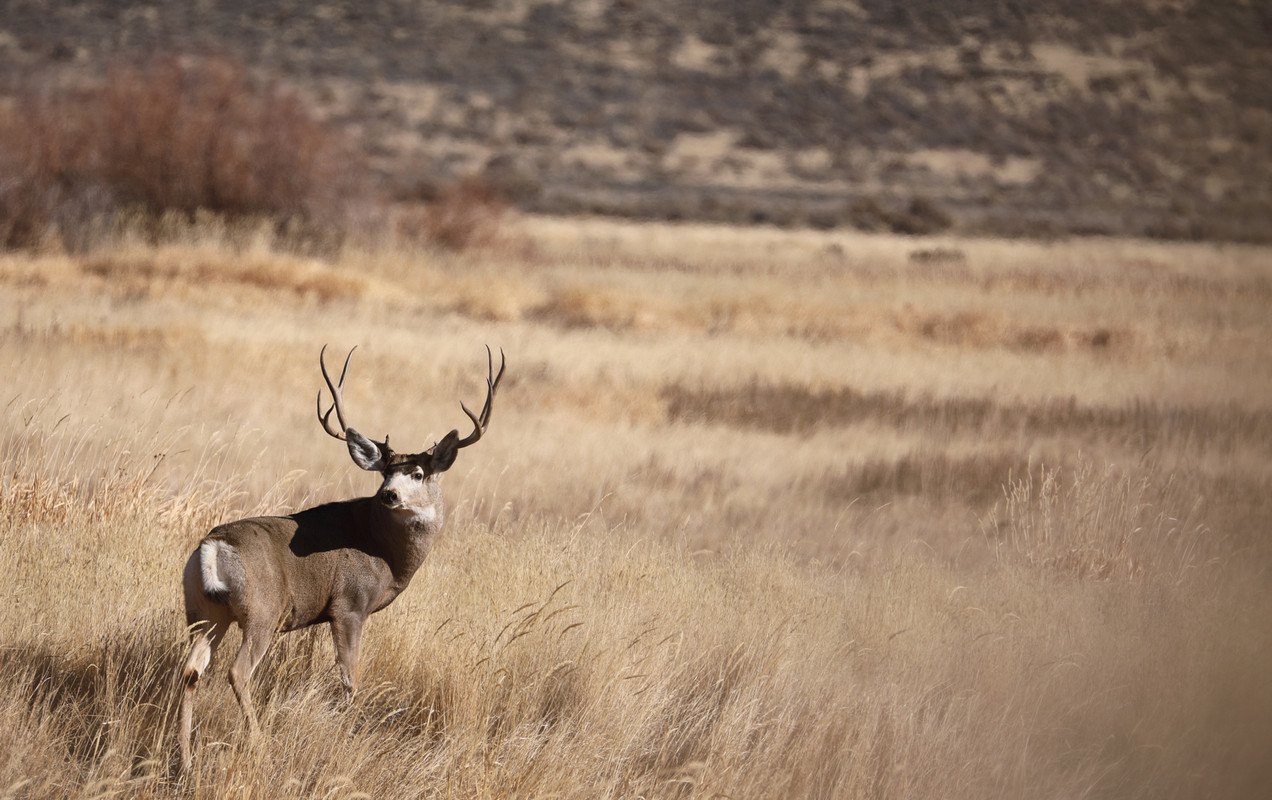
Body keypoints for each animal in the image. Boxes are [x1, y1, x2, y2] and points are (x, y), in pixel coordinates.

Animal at [177, 344, 504, 770]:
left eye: (417, 473)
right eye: (384, 474)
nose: (388, 495)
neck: (385, 554)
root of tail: (214, 545)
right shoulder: (349, 605)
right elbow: (350, 679)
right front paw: (349, 732)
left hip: (204, 611)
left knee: (191, 671)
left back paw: (184, 759)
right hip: (262, 611)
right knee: (237, 672)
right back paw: (259, 746)